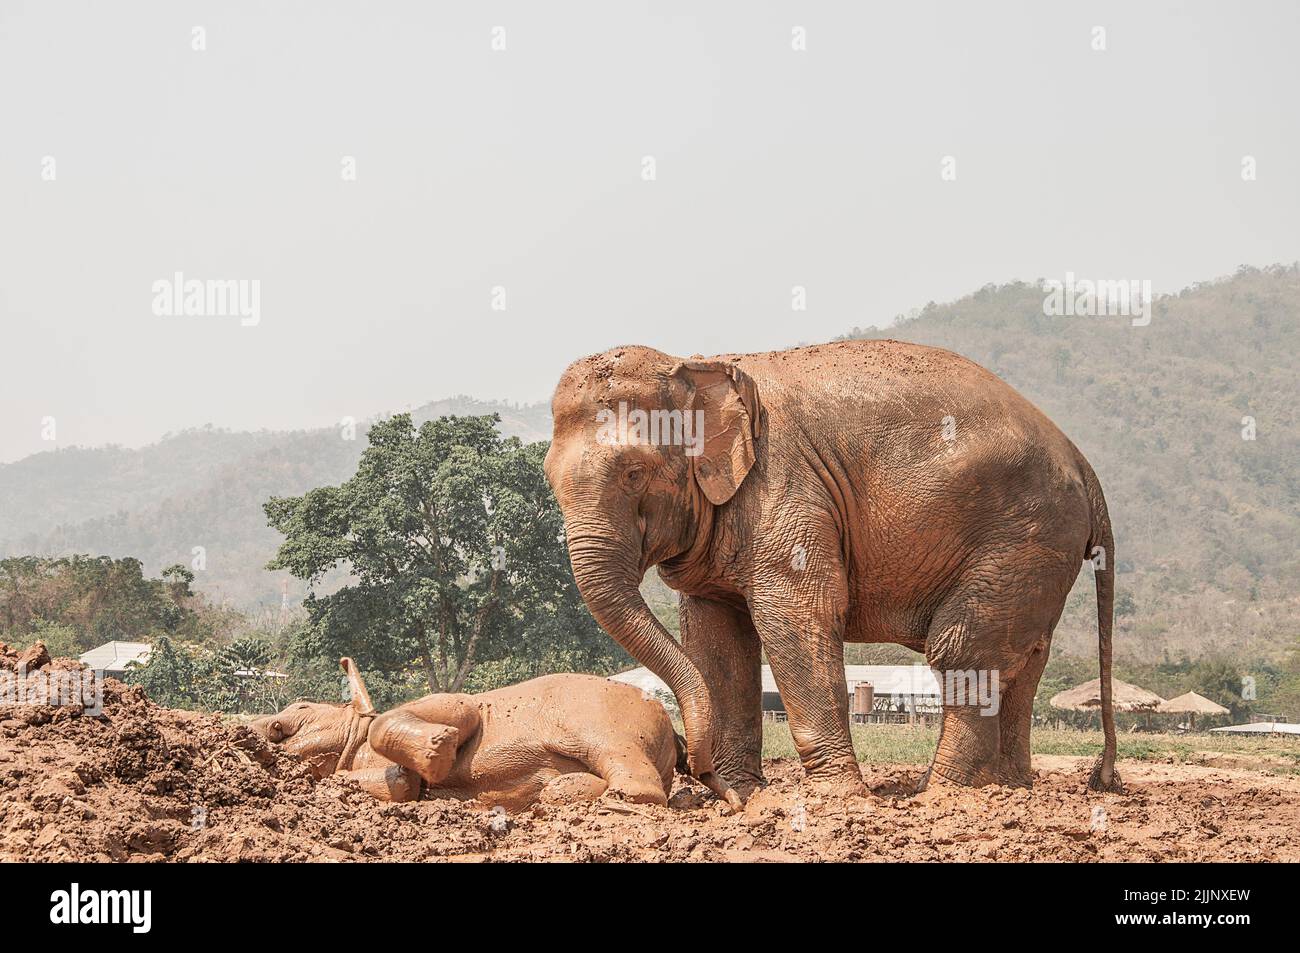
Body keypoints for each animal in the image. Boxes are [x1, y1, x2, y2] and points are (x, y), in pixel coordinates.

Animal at [249, 659, 682, 811]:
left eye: (298, 709)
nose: (252, 728)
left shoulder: (450, 702)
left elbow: (462, 709)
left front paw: (436, 752)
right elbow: (403, 786)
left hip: (604, 720)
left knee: (622, 764)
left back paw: (618, 801)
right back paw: (563, 792)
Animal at [544, 339, 1120, 804]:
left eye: (634, 473)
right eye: (547, 477)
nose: (697, 772)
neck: (698, 364)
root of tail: (1083, 464)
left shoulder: (785, 489)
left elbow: (796, 615)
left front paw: (833, 799)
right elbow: (717, 641)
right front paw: (746, 795)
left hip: (1023, 535)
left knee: (964, 649)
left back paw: (939, 795)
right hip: (1038, 555)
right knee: (1026, 657)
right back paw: (1008, 788)